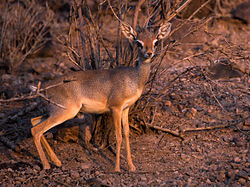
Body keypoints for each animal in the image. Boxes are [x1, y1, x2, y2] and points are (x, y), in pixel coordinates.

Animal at [30, 21, 171, 172]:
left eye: (156, 41)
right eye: (138, 42)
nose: (149, 53)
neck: (134, 79)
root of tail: (44, 87)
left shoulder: (125, 109)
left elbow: (126, 134)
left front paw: (131, 166)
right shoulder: (116, 108)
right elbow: (118, 135)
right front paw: (117, 168)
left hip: (55, 111)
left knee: (34, 121)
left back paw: (56, 162)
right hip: (66, 111)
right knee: (36, 130)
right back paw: (46, 165)